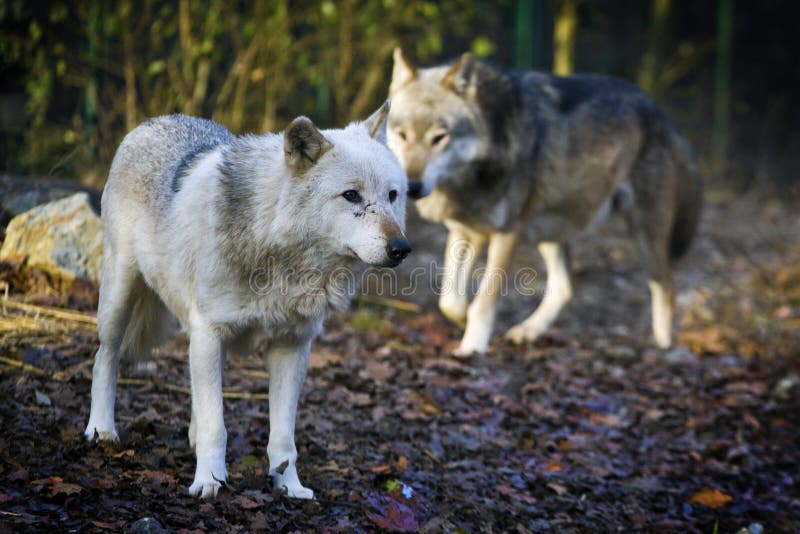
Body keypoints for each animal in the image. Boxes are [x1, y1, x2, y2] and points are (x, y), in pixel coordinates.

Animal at [83, 102, 410, 499]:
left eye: (392, 195)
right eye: (351, 196)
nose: (402, 248)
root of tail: (156, 120)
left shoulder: (292, 347)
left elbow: (283, 437)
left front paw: (289, 486)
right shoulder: (210, 333)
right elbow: (217, 426)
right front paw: (209, 481)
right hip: (120, 298)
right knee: (105, 357)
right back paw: (101, 429)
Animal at [387, 49, 701, 355]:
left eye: (439, 137)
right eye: (402, 135)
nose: (412, 186)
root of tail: (663, 115)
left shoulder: (508, 233)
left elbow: (485, 300)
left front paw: (472, 346)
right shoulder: (466, 232)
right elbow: (449, 301)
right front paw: (462, 319)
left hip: (644, 233)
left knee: (667, 287)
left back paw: (663, 347)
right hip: (551, 230)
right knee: (566, 287)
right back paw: (527, 331)